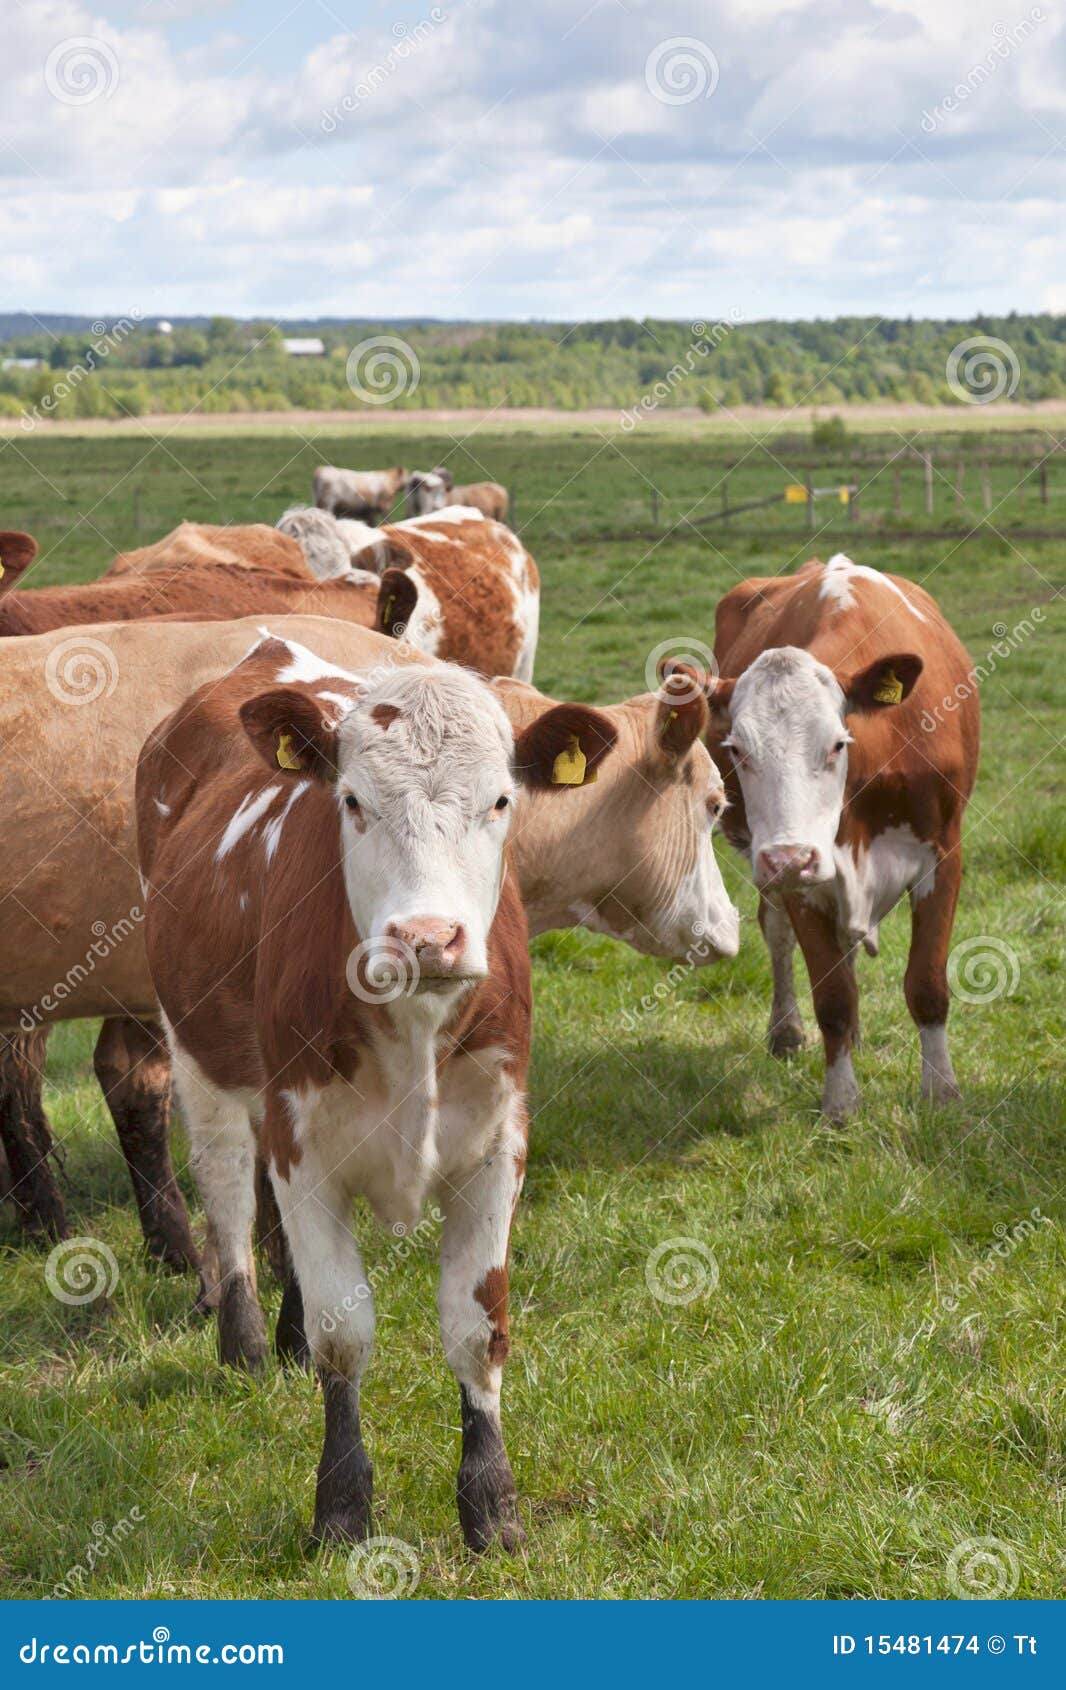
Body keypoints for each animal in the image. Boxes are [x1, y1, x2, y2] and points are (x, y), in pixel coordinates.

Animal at [671, 552, 979, 1120]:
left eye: (837, 744)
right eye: (737, 749)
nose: (789, 858)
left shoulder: (943, 853)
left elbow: (927, 983)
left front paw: (941, 1091)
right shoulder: (802, 880)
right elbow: (832, 996)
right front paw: (840, 1102)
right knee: (778, 934)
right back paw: (787, 1031)